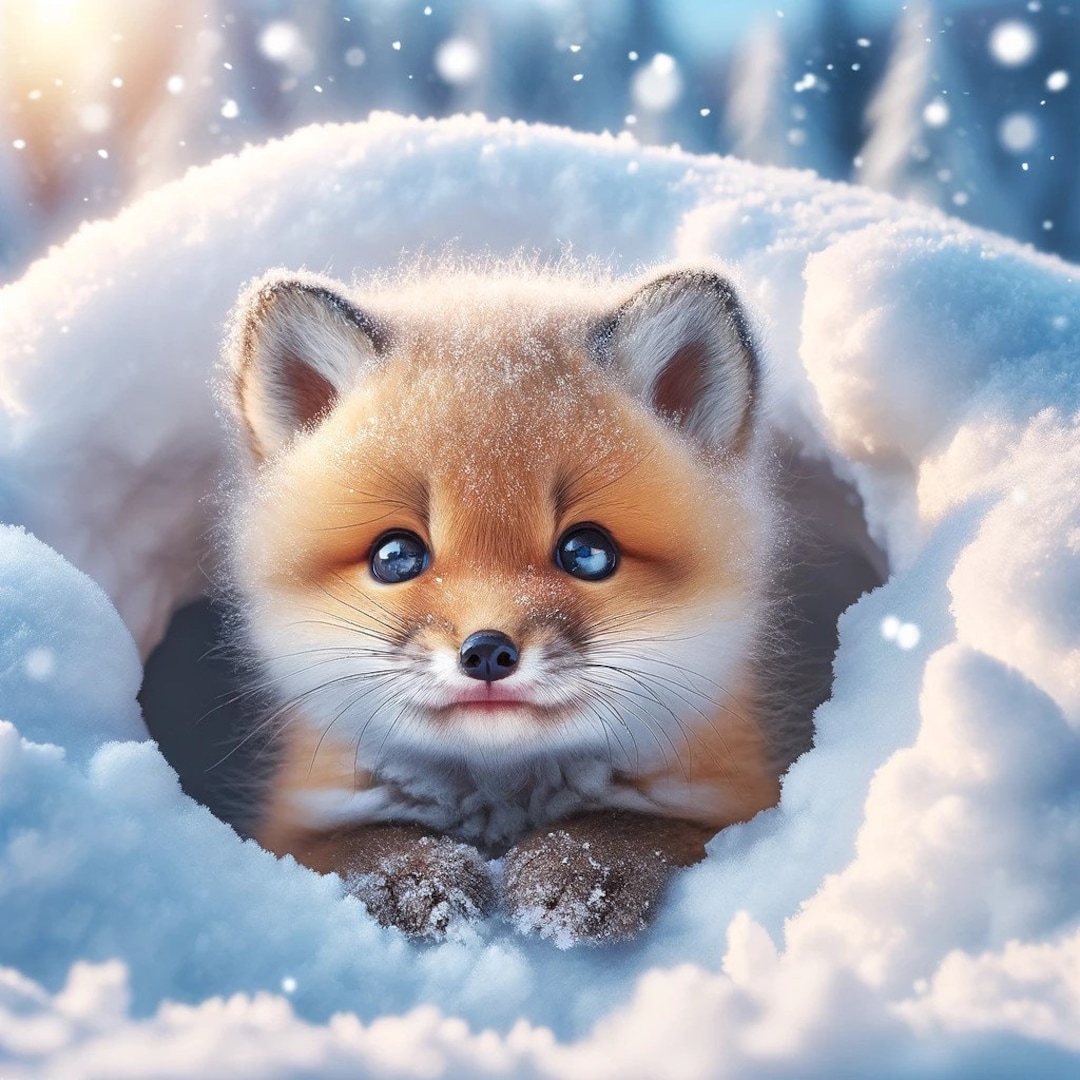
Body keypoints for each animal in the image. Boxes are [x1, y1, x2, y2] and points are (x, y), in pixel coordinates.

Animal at [218, 260, 813, 945]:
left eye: (588, 553)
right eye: (396, 556)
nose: (486, 652)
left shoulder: (731, 801)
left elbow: (639, 826)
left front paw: (577, 868)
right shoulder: (298, 824)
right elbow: (360, 843)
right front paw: (416, 877)